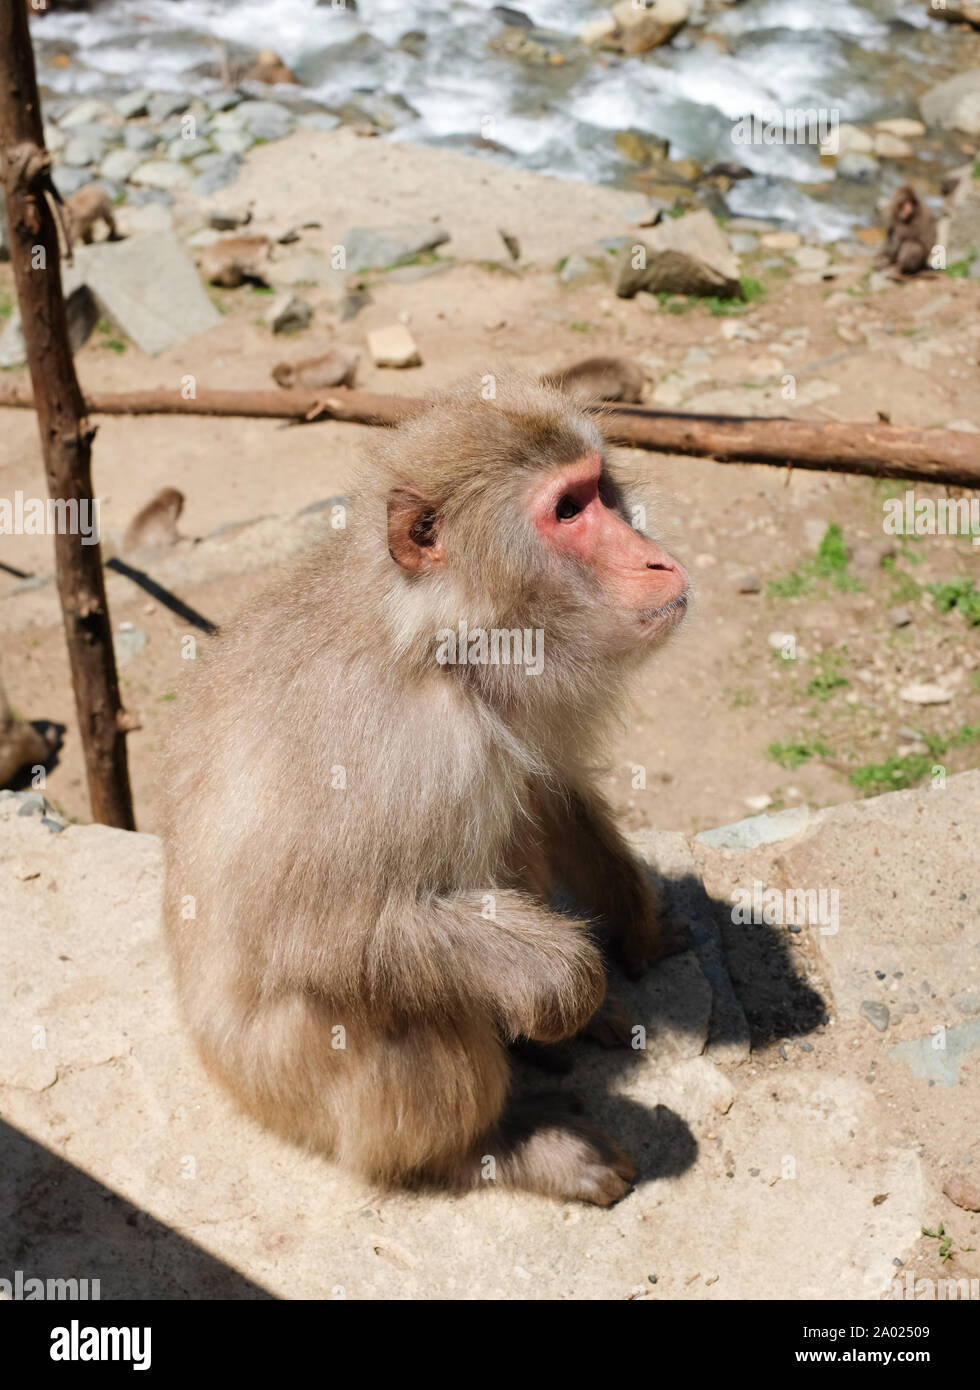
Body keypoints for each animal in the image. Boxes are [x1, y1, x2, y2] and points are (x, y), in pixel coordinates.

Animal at [162, 374, 690, 1207]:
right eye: (568, 511)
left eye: (601, 489)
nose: (659, 563)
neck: (446, 647)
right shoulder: (397, 744)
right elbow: (316, 936)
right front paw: (569, 985)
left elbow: (553, 793)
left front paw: (638, 930)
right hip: (289, 1088)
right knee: (392, 1004)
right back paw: (488, 1150)